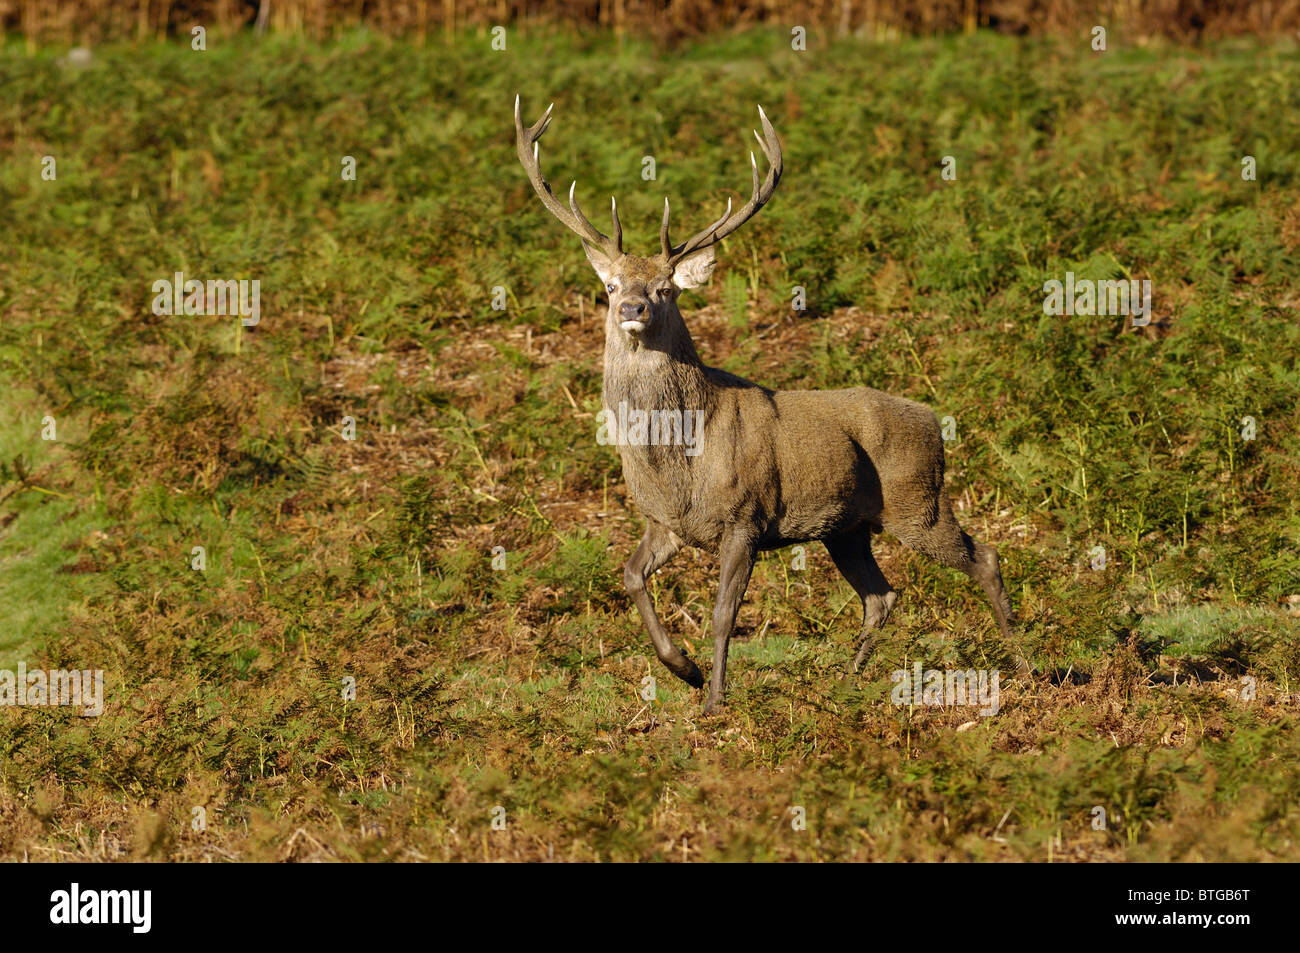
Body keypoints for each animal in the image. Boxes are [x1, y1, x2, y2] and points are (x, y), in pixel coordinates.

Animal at [514, 96, 1031, 713]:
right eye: (611, 285)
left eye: (667, 288)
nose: (633, 308)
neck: (679, 456)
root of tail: (934, 420)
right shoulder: (666, 522)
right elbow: (631, 576)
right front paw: (684, 669)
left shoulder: (746, 517)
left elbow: (722, 614)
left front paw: (714, 699)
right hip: (846, 527)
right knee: (882, 595)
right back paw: (846, 682)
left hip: (917, 501)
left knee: (984, 558)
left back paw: (1026, 664)